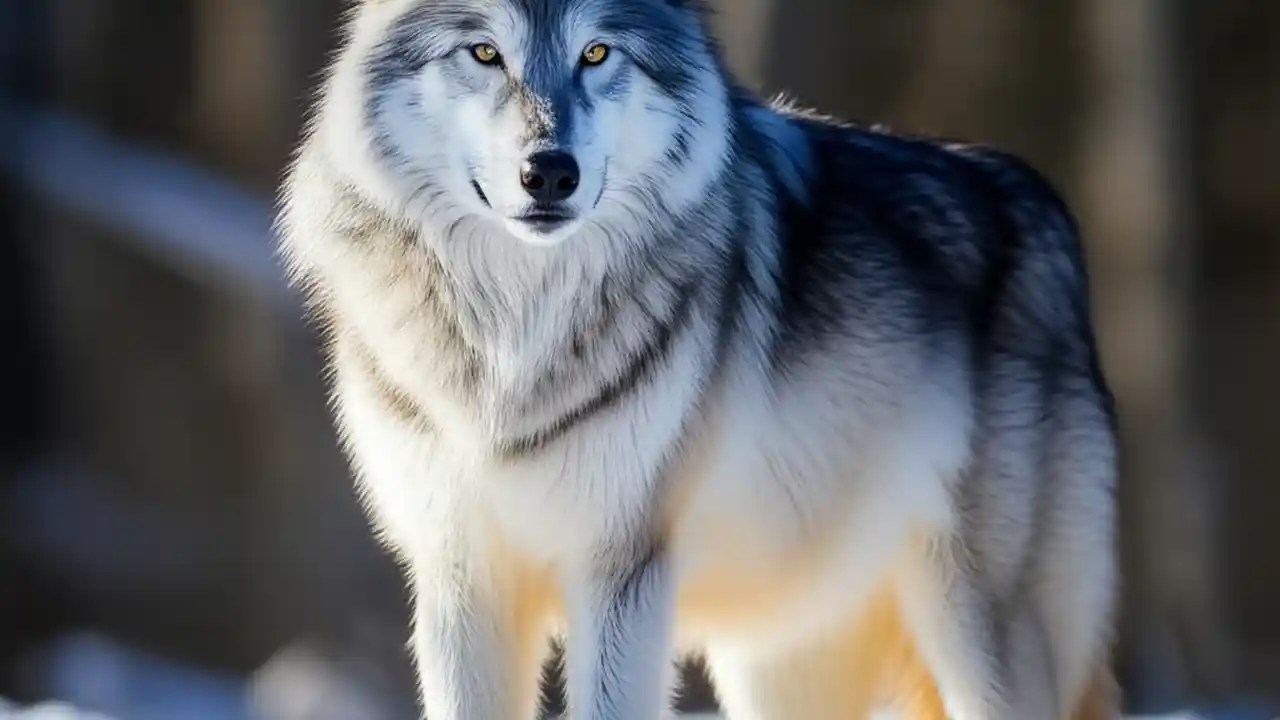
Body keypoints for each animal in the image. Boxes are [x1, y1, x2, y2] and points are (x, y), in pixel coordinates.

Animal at [278, 0, 1120, 718]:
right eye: (485, 52)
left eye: (596, 52)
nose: (549, 172)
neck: (516, 331)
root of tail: (1046, 207)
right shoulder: (463, 576)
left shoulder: (623, 570)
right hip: (779, 658)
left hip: (983, 634)